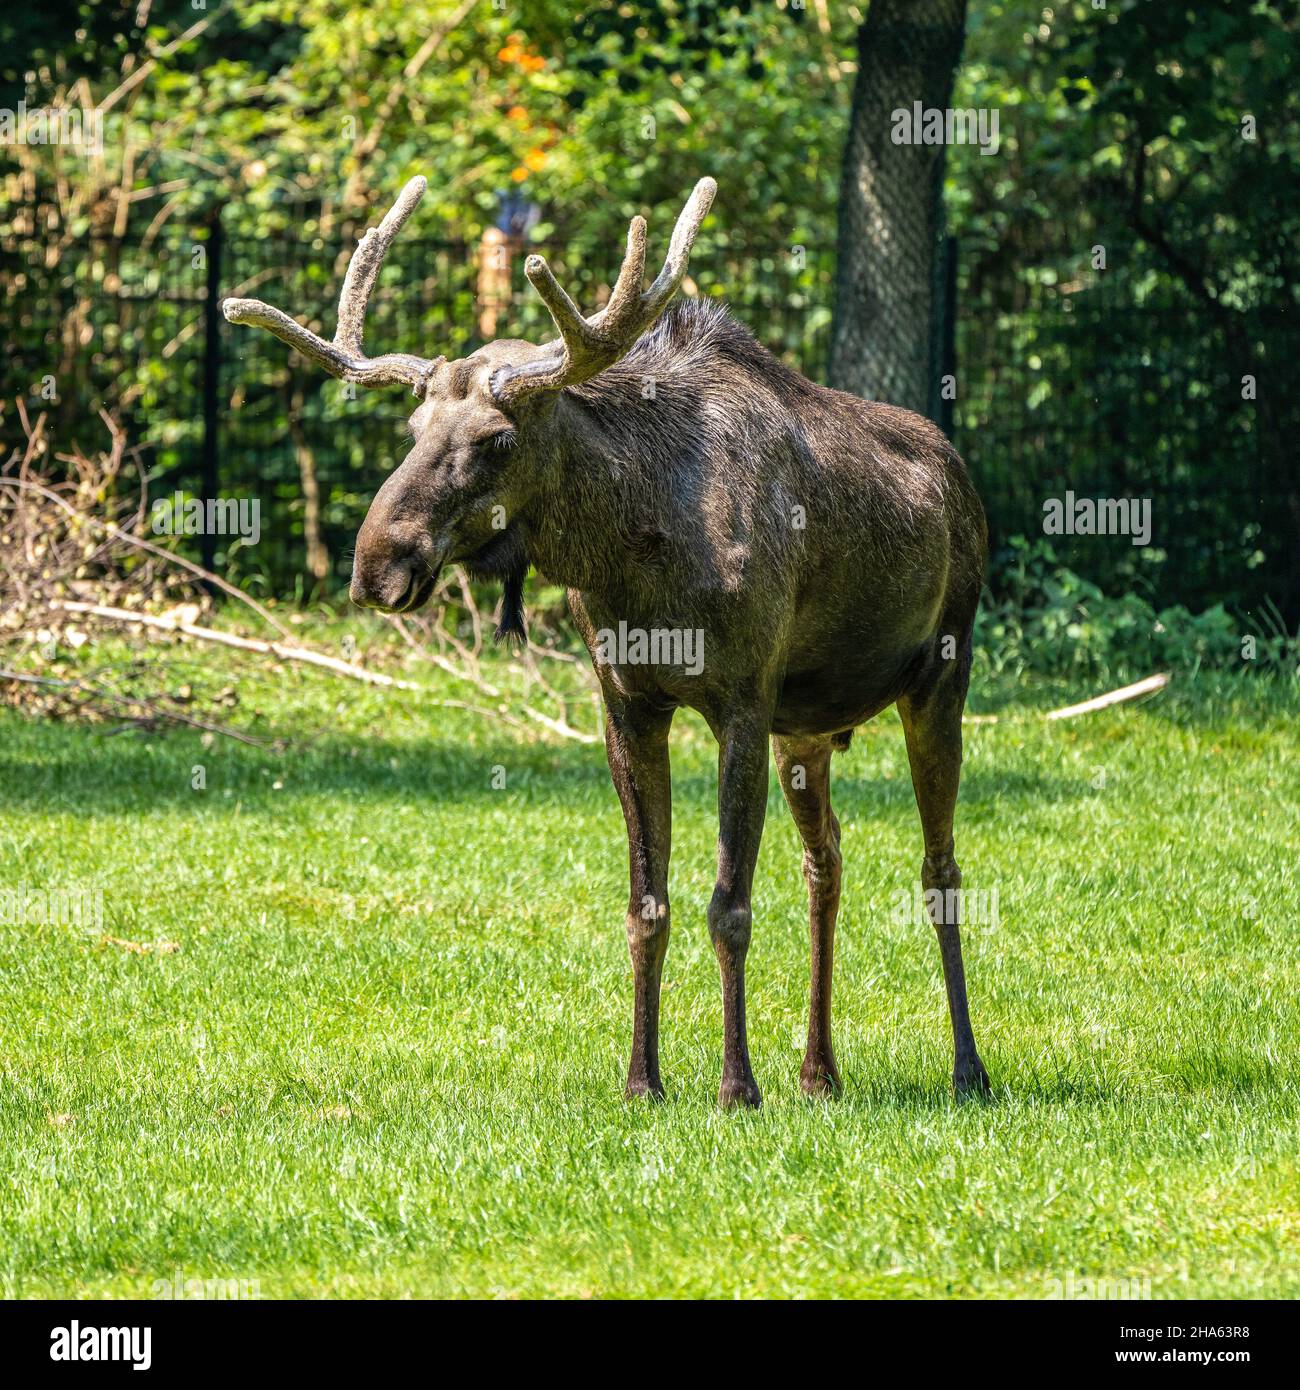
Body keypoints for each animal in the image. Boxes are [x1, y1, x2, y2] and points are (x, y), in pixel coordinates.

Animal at [223, 175, 991, 1109]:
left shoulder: (743, 699)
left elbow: (729, 905)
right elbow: (646, 905)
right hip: (808, 725)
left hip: (939, 676)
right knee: (827, 863)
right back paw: (819, 1070)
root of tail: (962, 478)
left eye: (498, 438)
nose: (378, 565)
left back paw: (968, 1068)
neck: (632, 550)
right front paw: (643, 1080)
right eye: (411, 434)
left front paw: (737, 1085)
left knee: (940, 870)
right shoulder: (628, 704)